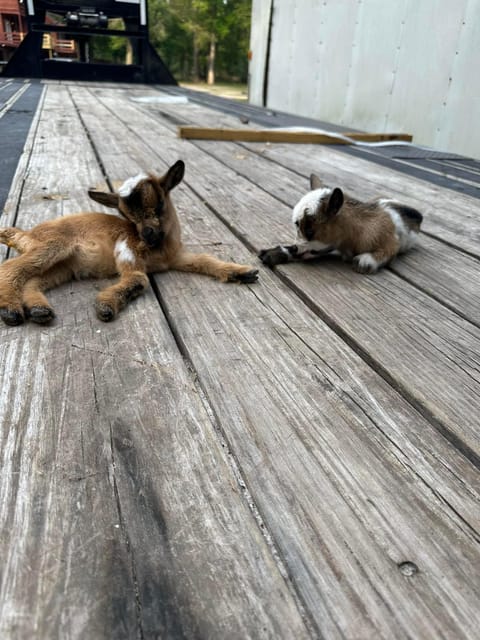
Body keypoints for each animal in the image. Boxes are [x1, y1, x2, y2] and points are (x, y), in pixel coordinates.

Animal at [0, 160, 258, 326]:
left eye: (160, 204)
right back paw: (10, 310)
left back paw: (38, 310)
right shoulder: (127, 247)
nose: (148, 235)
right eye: (127, 216)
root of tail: (25, 233)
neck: (160, 251)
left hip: (63, 267)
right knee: (9, 269)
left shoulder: (176, 257)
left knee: (32, 280)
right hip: (54, 245)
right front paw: (106, 305)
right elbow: (138, 278)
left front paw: (242, 272)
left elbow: (205, 259)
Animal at [259, 173, 423, 273]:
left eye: (310, 231)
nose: (294, 248)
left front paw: (365, 261)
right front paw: (275, 253)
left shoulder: (391, 243)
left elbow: (387, 252)